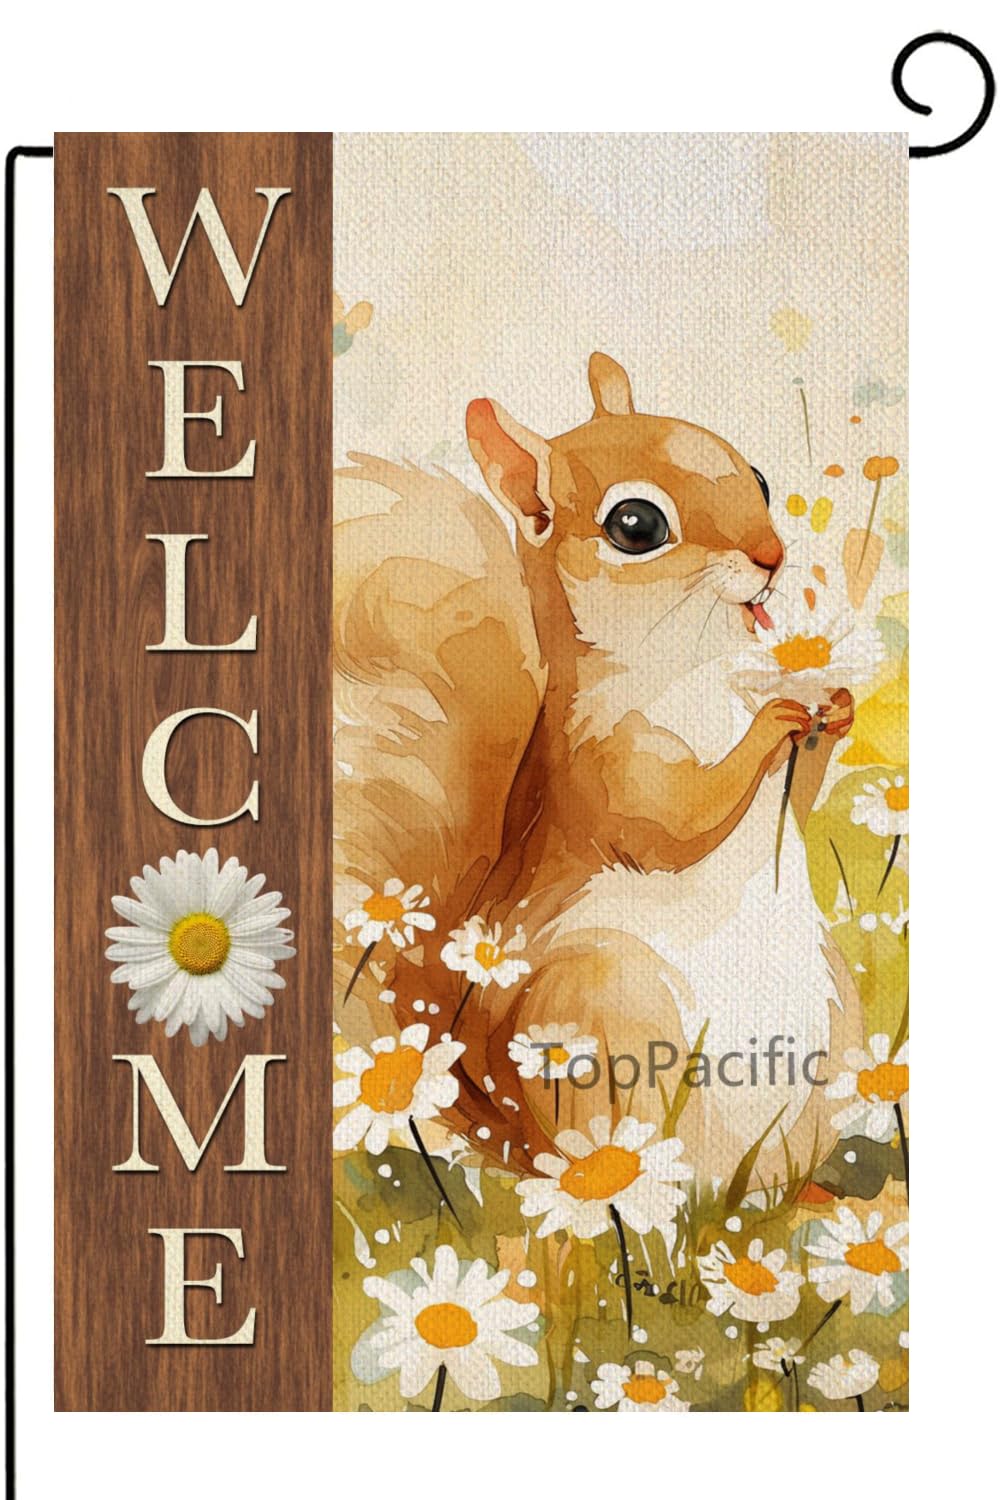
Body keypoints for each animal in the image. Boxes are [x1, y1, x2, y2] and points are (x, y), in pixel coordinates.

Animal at [334, 353, 864, 1189]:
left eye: (755, 473)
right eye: (636, 526)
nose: (773, 557)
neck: (695, 669)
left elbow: (797, 803)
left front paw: (835, 705)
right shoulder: (605, 763)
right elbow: (676, 822)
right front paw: (773, 723)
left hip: (837, 1024)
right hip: (604, 1010)